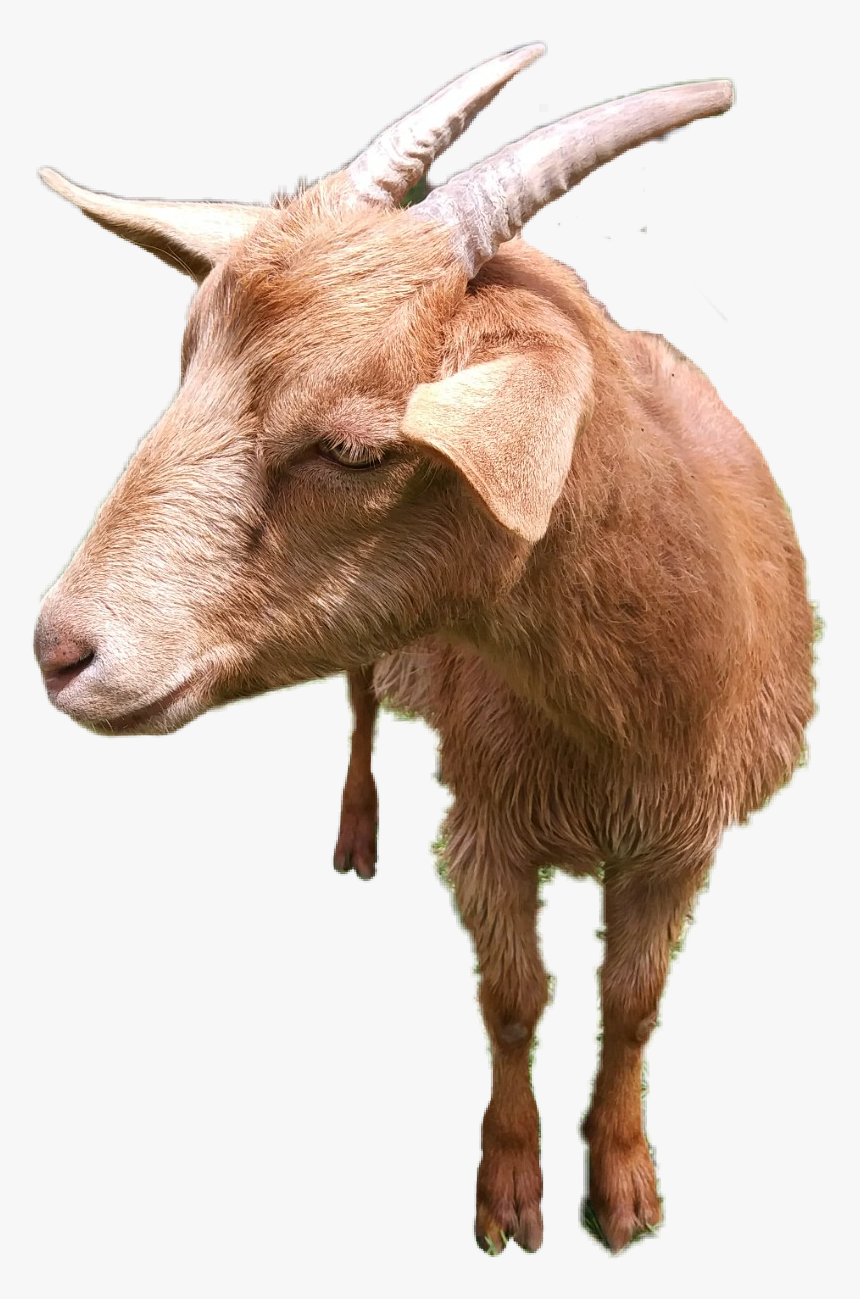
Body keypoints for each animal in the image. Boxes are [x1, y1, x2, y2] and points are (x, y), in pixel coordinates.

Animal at [34, 45, 815, 1253]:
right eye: (184, 366)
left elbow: (632, 1003)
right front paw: (510, 1192)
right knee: (360, 705)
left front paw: (625, 1188)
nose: (60, 649)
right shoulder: (489, 820)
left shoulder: (681, 839)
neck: (620, 720)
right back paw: (357, 833)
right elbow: (513, 999)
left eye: (358, 449)